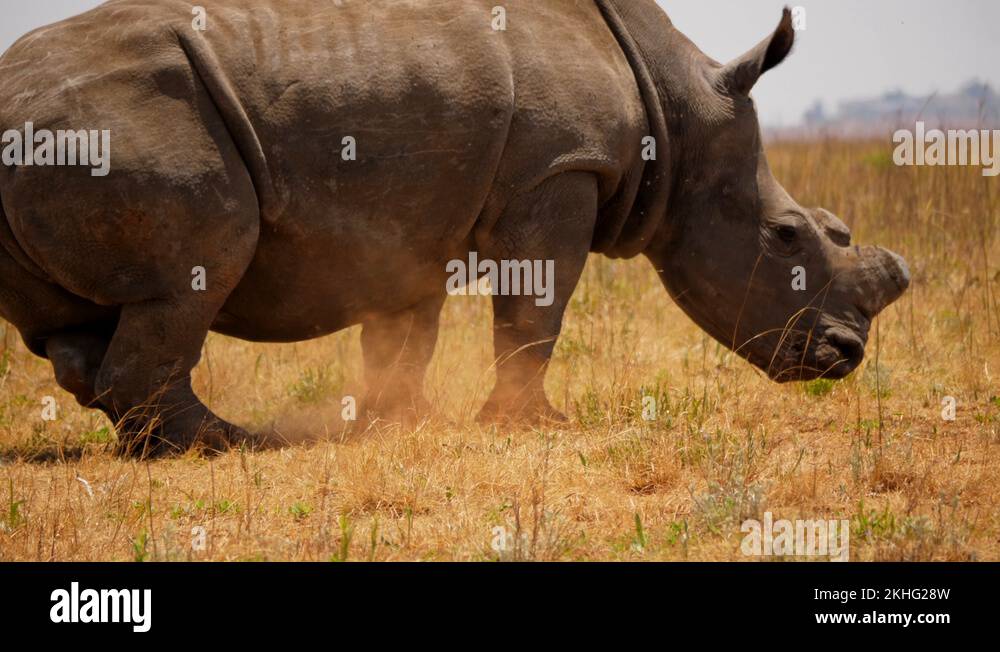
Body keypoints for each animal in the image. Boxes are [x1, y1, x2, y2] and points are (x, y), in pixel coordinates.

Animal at [0, 0, 909, 456]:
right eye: (790, 236)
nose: (845, 357)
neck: (678, 111)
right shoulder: (561, 168)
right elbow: (536, 310)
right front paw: (533, 426)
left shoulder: (416, 219)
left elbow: (409, 328)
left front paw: (397, 418)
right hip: (123, 116)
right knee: (195, 270)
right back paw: (231, 443)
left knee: (79, 325)